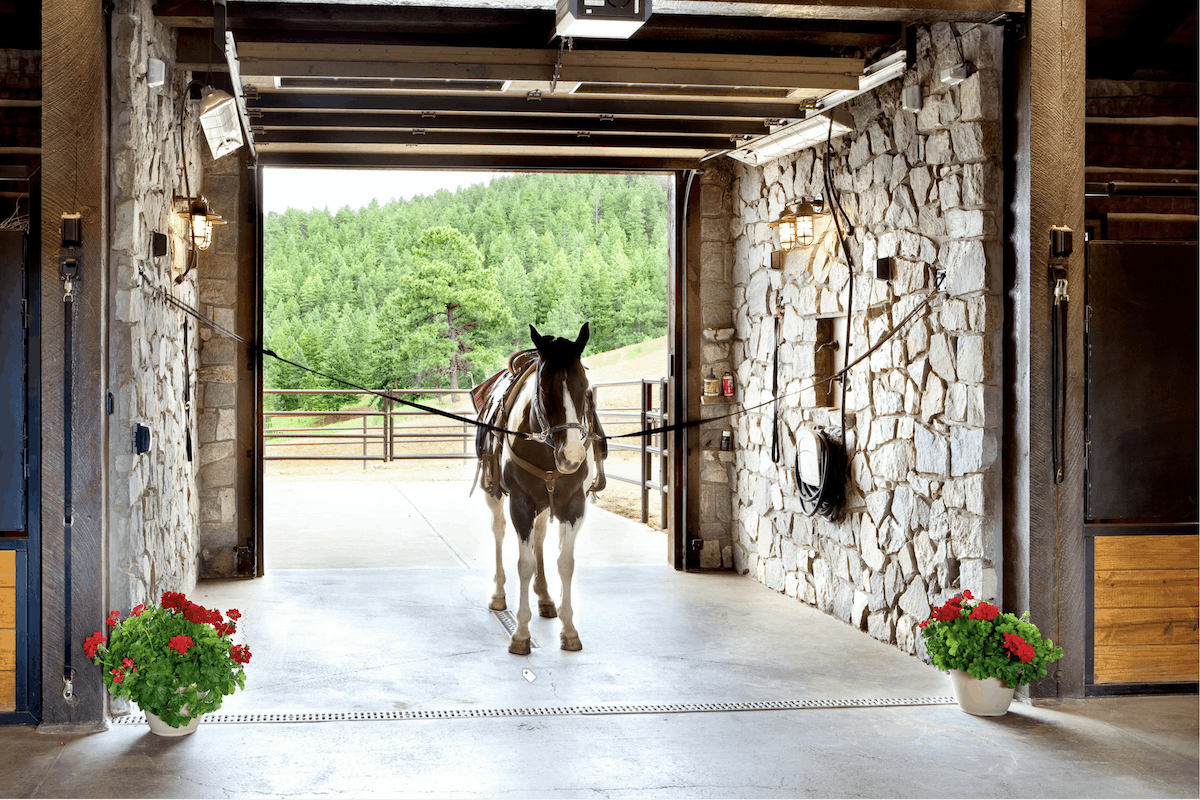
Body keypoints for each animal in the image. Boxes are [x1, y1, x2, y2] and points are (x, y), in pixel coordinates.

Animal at [474, 322, 606, 655]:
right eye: (544, 389)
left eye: (586, 388)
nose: (572, 456)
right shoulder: (521, 503)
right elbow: (524, 563)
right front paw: (521, 634)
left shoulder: (574, 505)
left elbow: (565, 563)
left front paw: (569, 631)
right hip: (495, 495)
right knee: (498, 531)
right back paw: (498, 595)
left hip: (546, 503)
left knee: (541, 537)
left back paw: (546, 598)